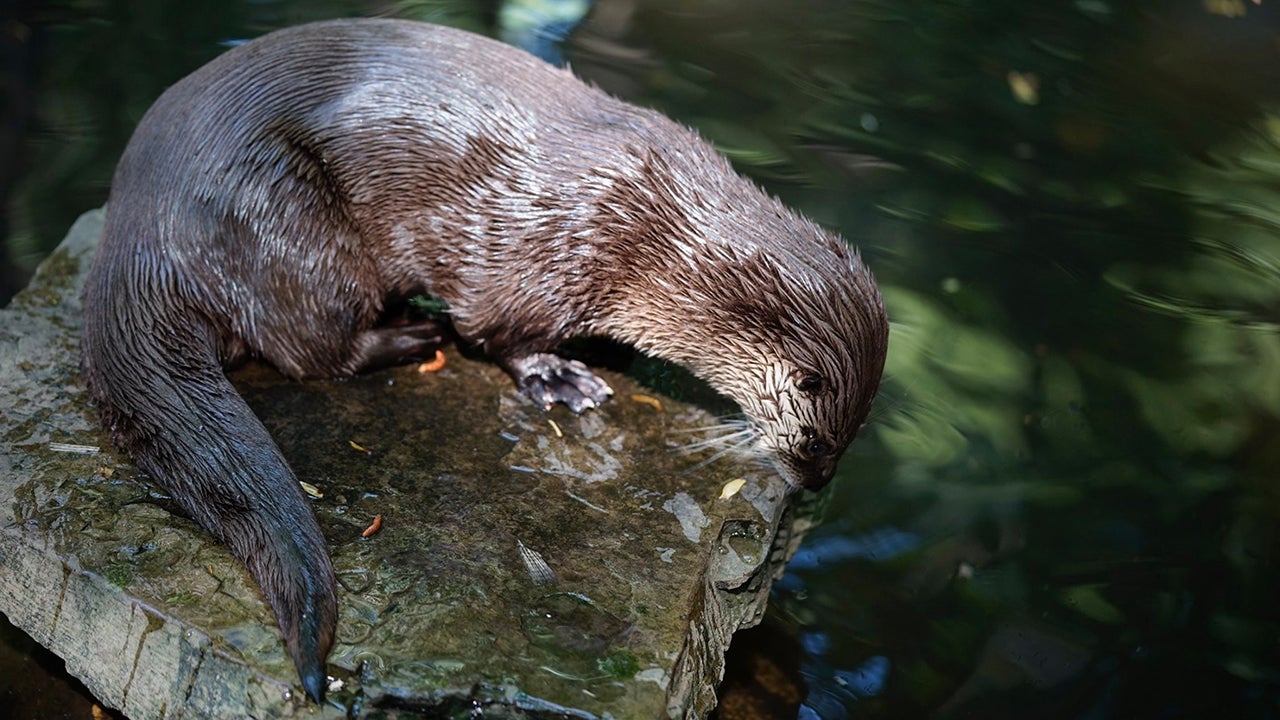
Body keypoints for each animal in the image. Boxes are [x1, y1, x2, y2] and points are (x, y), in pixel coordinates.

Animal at [80, 18, 888, 702]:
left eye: (853, 432)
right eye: (814, 417)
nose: (816, 479)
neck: (653, 238)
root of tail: (140, 228)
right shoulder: (538, 252)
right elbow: (495, 329)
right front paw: (558, 375)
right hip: (286, 220)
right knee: (311, 346)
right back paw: (409, 334)